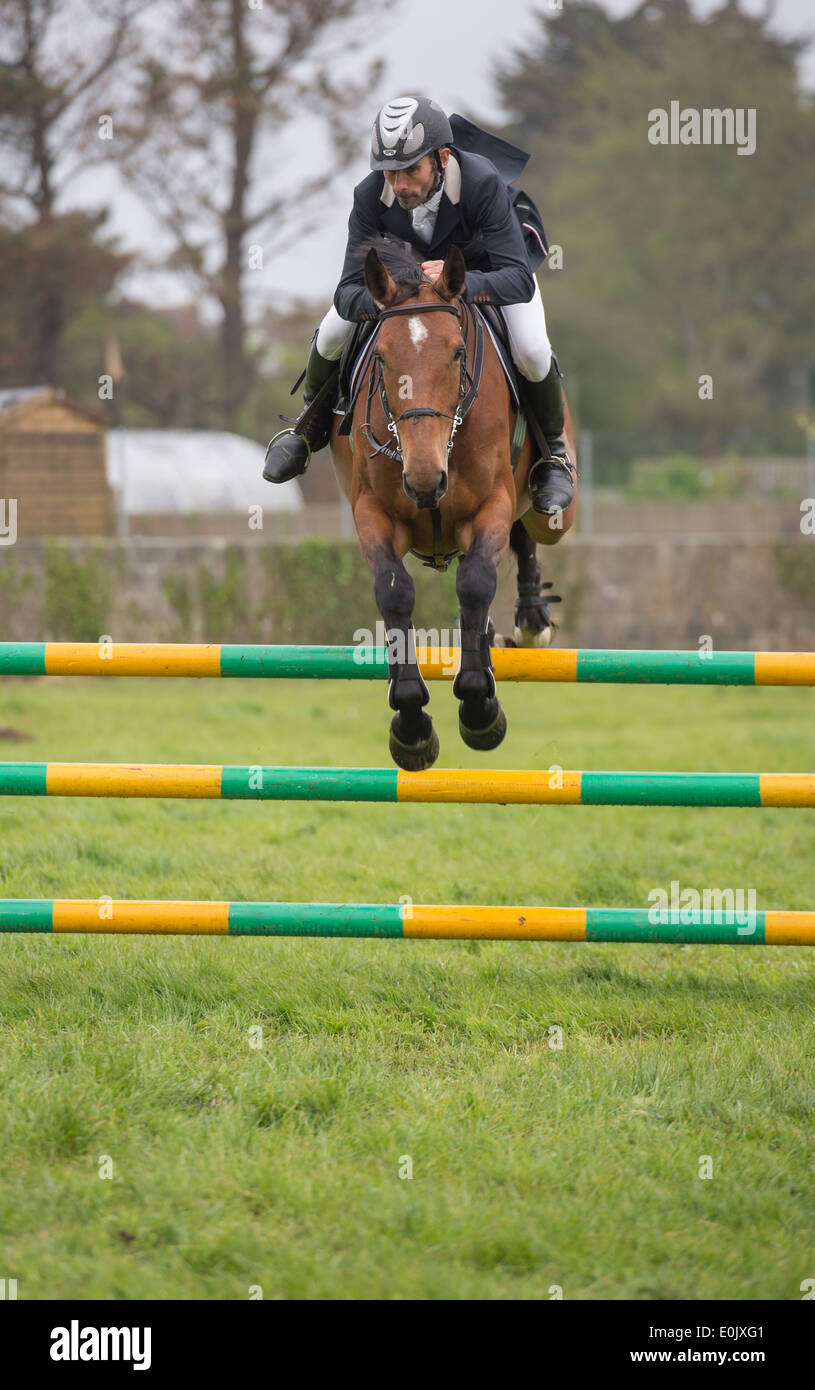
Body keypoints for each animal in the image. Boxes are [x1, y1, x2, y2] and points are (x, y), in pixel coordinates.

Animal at [329, 239, 577, 771]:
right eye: (381, 358)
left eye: (458, 352)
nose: (425, 481)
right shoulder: (373, 514)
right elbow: (395, 592)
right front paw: (410, 722)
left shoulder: (492, 504)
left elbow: (477, 580)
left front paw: (480, 709)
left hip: (550, 513)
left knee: (527, 533)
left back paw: (531, 622)